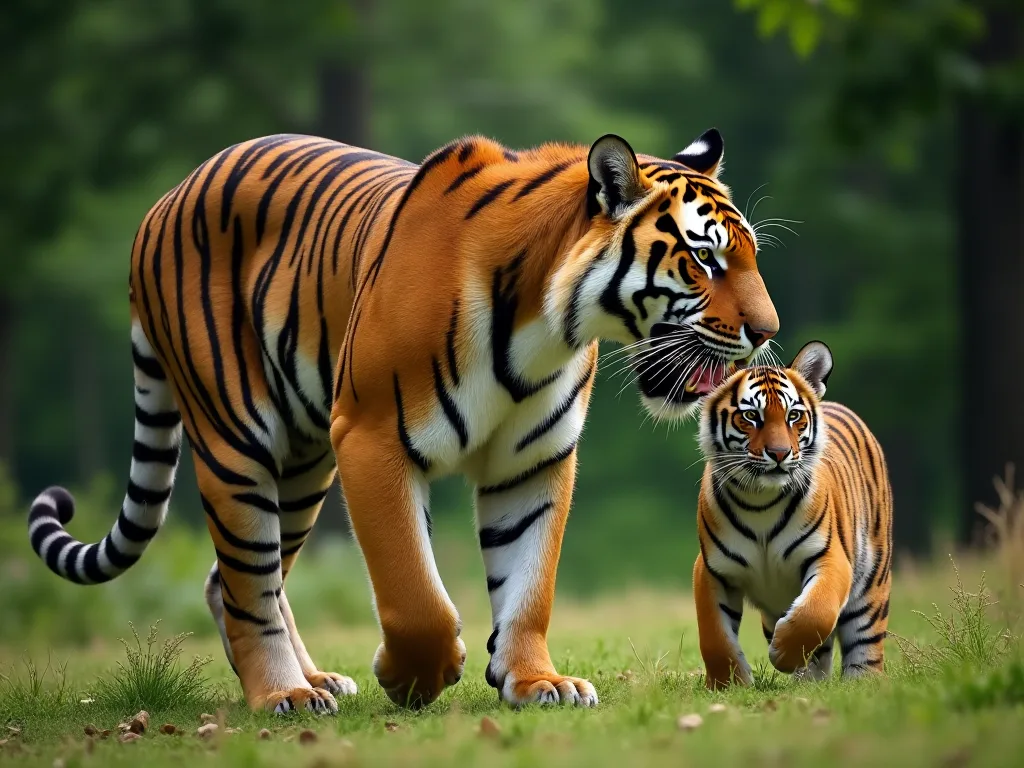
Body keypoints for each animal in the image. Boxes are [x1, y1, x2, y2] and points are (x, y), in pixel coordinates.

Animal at [26, 128, 779, 714]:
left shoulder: (534, 460)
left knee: (236, 580)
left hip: (303, 462)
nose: (767, 332)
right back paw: (283, 695)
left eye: (748, 256)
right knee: (246, 581)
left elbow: (529, 585)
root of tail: (162, 201)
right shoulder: (372, 437)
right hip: (237, 441)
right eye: (704, 257)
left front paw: (537, 682)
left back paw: (316, 681)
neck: (546, 327)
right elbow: (415, 595)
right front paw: (412, 676)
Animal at [691, 341, 893, 687]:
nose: (779, 453)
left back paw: (861, 684)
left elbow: (816, 613)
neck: (759, 499)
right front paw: (728, 684)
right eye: (751, 416)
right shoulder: (711, 570)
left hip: (872, 581)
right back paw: (809, 681)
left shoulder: (831, 557)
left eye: (793, 416)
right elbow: (713, 635)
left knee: (864, 643)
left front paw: (782, 654)